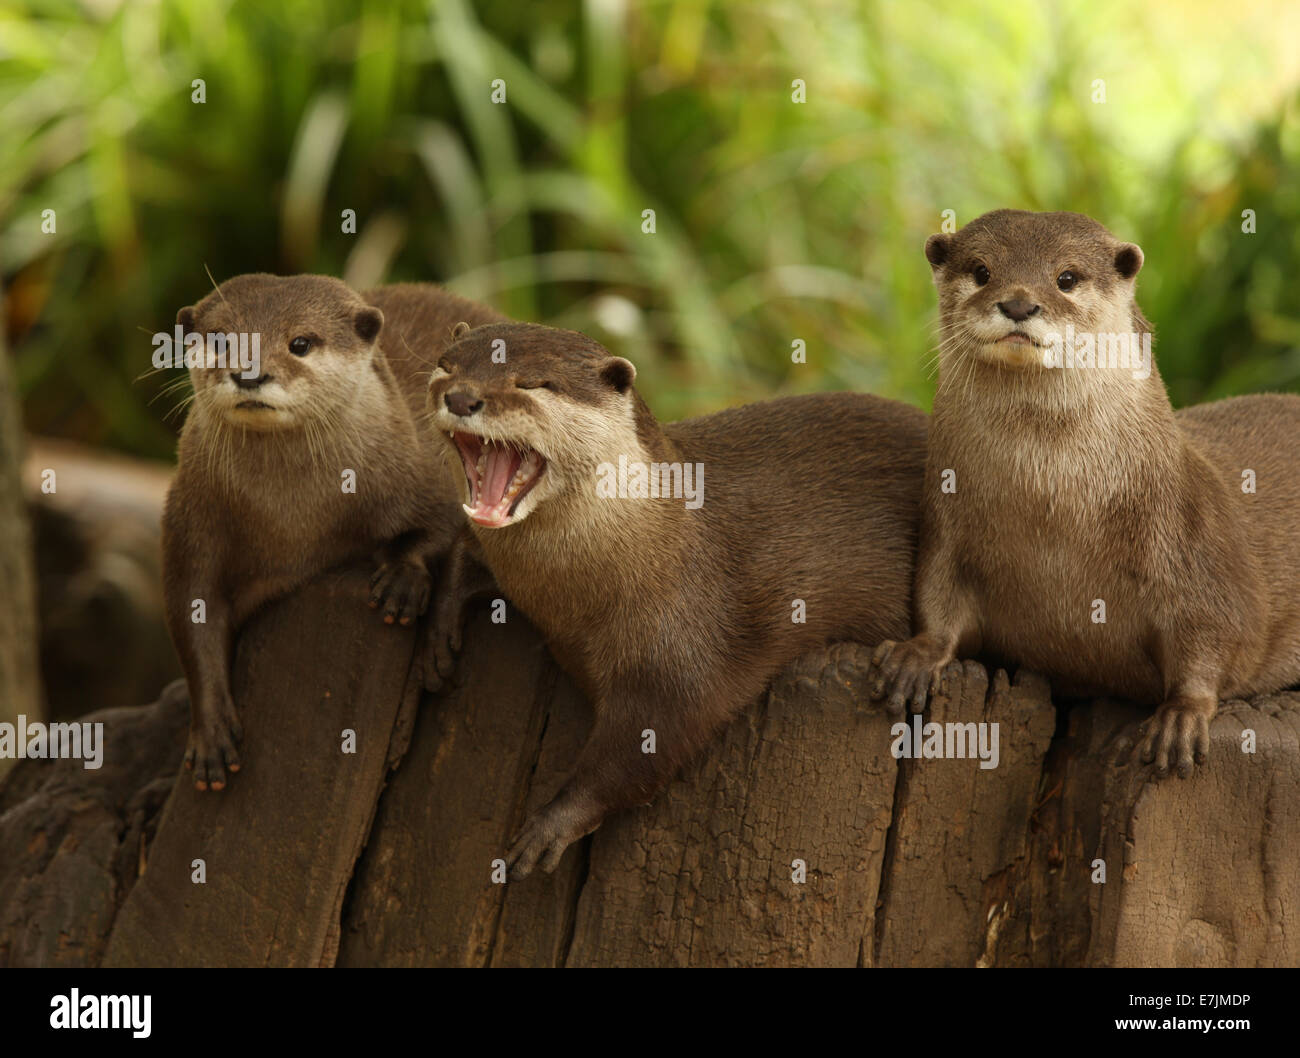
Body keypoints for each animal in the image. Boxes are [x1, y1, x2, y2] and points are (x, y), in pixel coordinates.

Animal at [162, 275, 504, 790]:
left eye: (300, 343)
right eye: (221, 340)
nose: (249, 373)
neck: (292, 521)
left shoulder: (427, 467)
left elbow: (446, 525)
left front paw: (402, 578)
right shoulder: (191, 517)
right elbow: (190, 608)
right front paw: (210, 733)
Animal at [423, 322, 927, 876]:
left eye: (534, 383)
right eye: (447, 364)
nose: (460, 396)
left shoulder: (678, 654)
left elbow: (646, 746)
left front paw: (550, 824)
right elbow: (464, 552)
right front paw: (438, 631)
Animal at [869, 209, 1300, 777]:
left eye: (1067, 277)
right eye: (982, 270)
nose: (1018, 303)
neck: (1054, 515)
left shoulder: (1197, 551)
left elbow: (1217, 632)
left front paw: (1179, 721)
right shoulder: (946, 528)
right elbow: (937, 597)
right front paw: (914, 657)